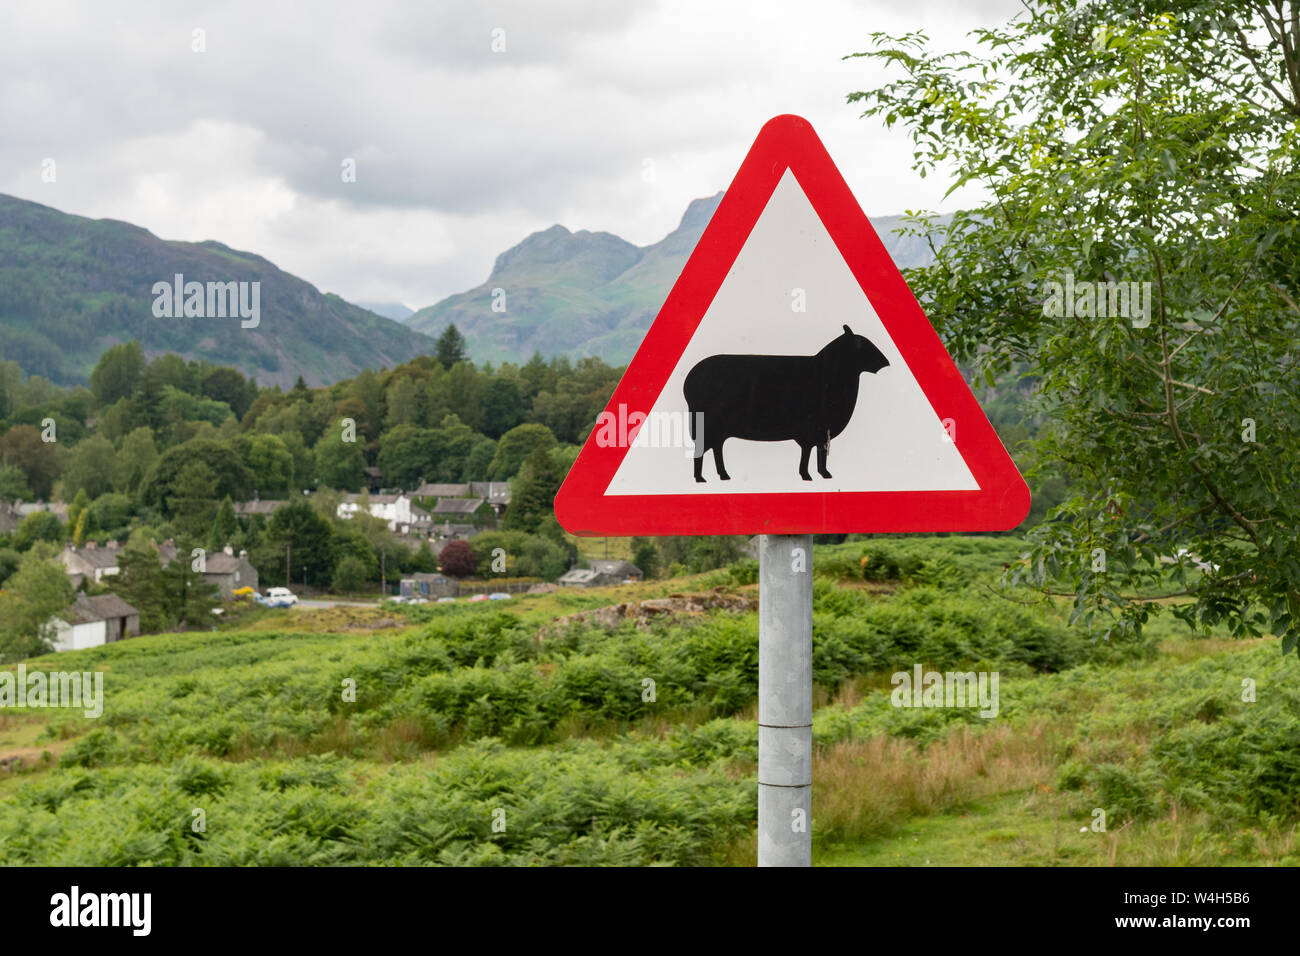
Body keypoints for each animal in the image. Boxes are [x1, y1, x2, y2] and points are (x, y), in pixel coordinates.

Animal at [684, 324, 889, 482]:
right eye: (862, 345)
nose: (885, 362)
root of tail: (688, 382)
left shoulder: (821, 432)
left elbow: (819, 454)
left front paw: (823, 474)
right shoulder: (811, 429)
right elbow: (809, 452)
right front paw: (807, 475)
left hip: (717, 431)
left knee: (716, 449)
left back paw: (723, 475)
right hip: (705, 427)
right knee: (701, 452)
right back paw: (700, 478)